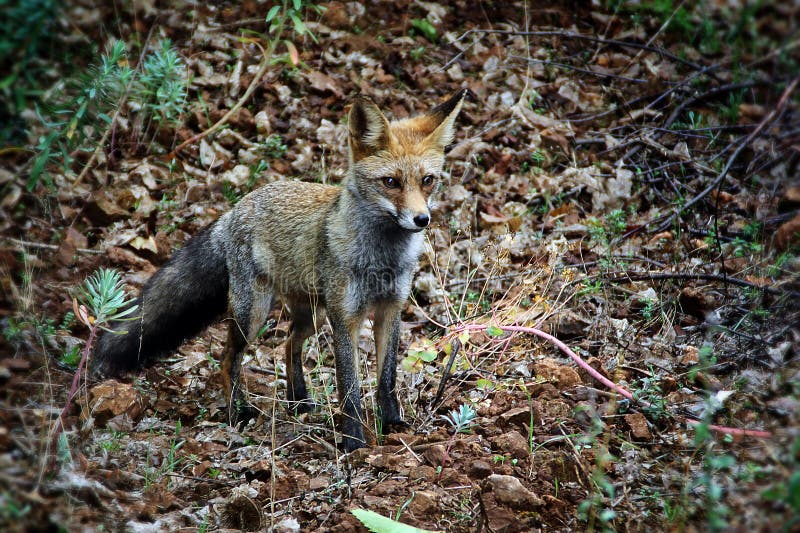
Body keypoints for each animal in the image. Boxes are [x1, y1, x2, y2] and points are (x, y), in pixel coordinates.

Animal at [91, 90, 467, 451]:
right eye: (391, 182)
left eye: (428, 180)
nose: (422, 219)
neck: (381, 259)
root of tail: (234, 210)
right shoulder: (345, 317)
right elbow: (349, 387)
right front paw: (354, 442)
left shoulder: (390, 309)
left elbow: (386, 378)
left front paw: (392, 425)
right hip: (255, 313)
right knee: (229, 359)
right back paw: (239, 413)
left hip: (313, 313)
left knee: (288, 343)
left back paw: (298, 401)